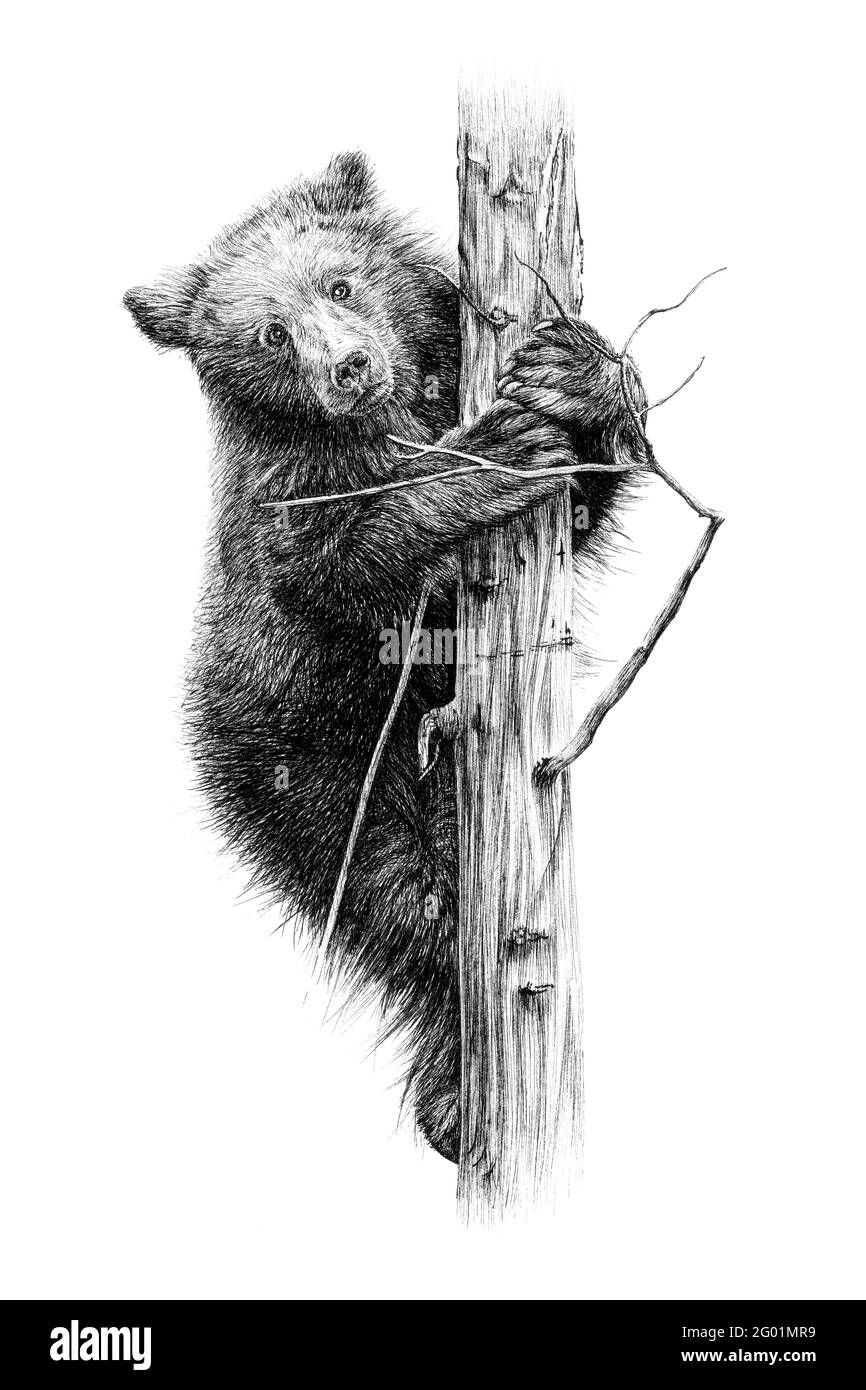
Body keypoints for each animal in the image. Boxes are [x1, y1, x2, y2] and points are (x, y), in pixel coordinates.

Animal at [124, 151, 647, 1163]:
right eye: (271, 332)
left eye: (340, 283)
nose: (350, 366)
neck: (396, 413)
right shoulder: (287, 504)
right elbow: (340, 560)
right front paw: (490, 455)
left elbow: (585, 499)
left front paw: (575, 373)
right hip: (303, 777)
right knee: (398, 903)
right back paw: (456, 1080)